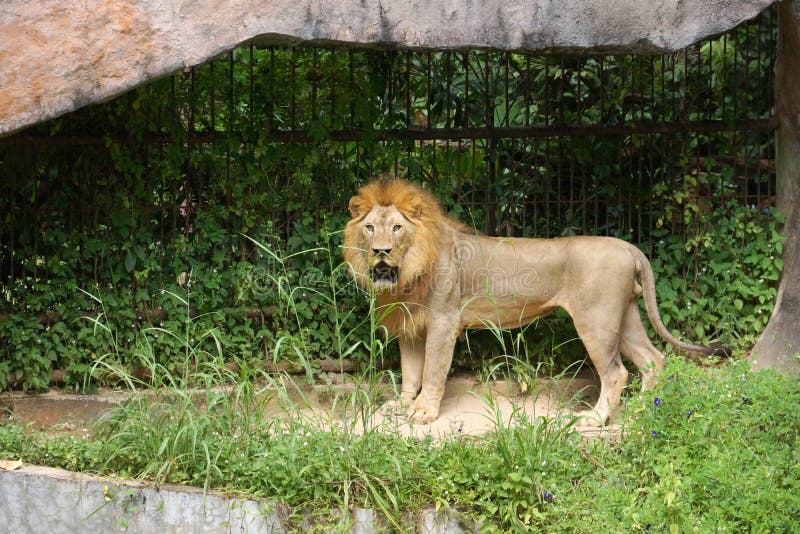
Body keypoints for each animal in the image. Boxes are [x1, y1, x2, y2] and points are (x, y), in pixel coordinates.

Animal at [343, 178, 727, 425]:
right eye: (370, 228)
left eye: (397, 228)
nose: (380, 253)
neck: (410, 269)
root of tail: (629, 247)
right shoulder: (409, 324)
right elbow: (410, 372)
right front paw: (402, 405)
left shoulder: (443, 321)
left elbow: (432, 370)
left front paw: (424, 413)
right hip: (626, 316)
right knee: (653, 361)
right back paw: (642, 411)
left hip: (597, 321)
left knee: (617, 373)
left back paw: (595, 419)